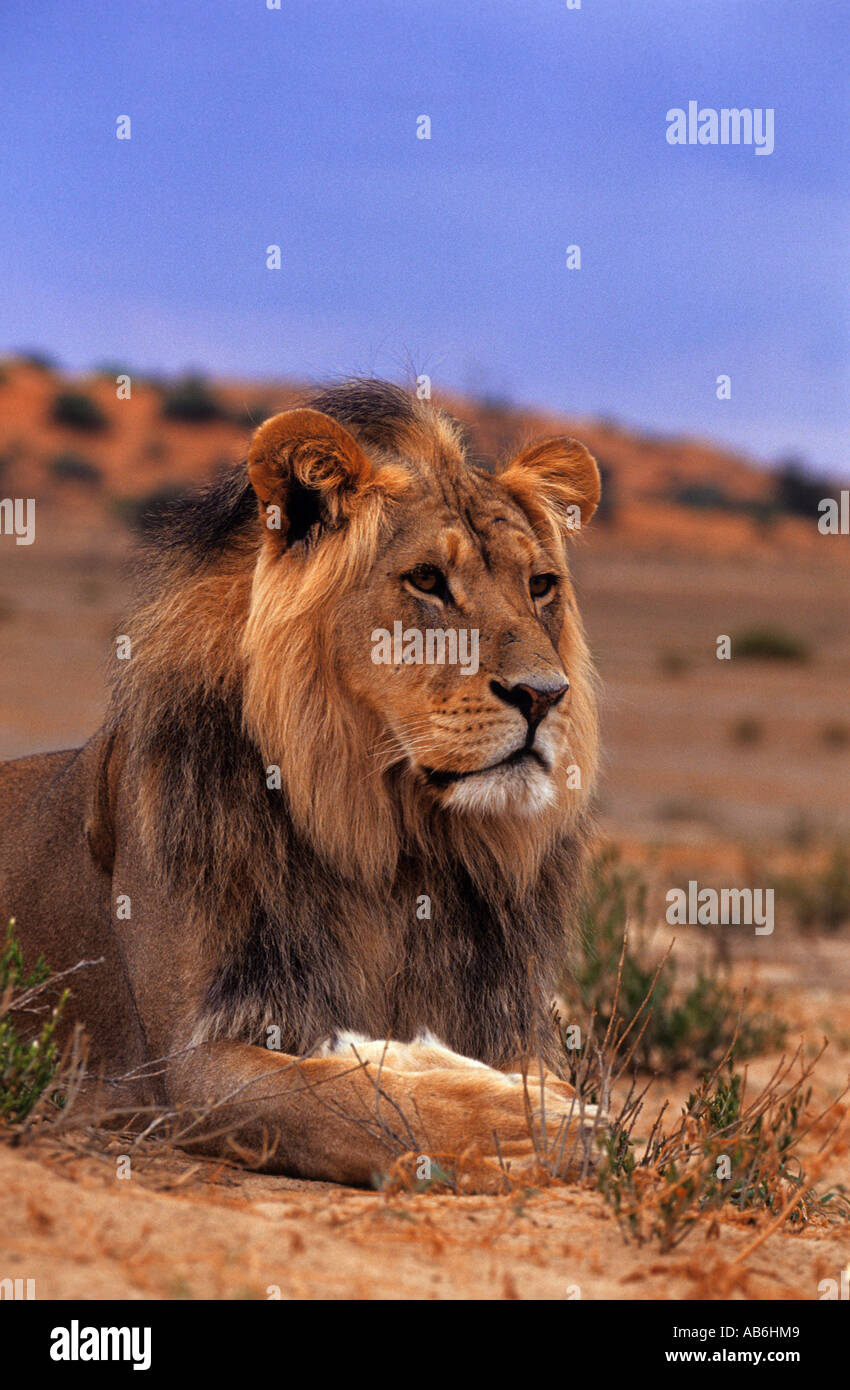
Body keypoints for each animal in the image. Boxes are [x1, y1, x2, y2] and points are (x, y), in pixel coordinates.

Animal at [0, 380, 601, 1185]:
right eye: (427, 581)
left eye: (541, 586)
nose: (544, 695)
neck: (391, 843)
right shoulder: (187, 1068)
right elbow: (358, 1098)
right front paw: (531, 1123)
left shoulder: (504, 1022)